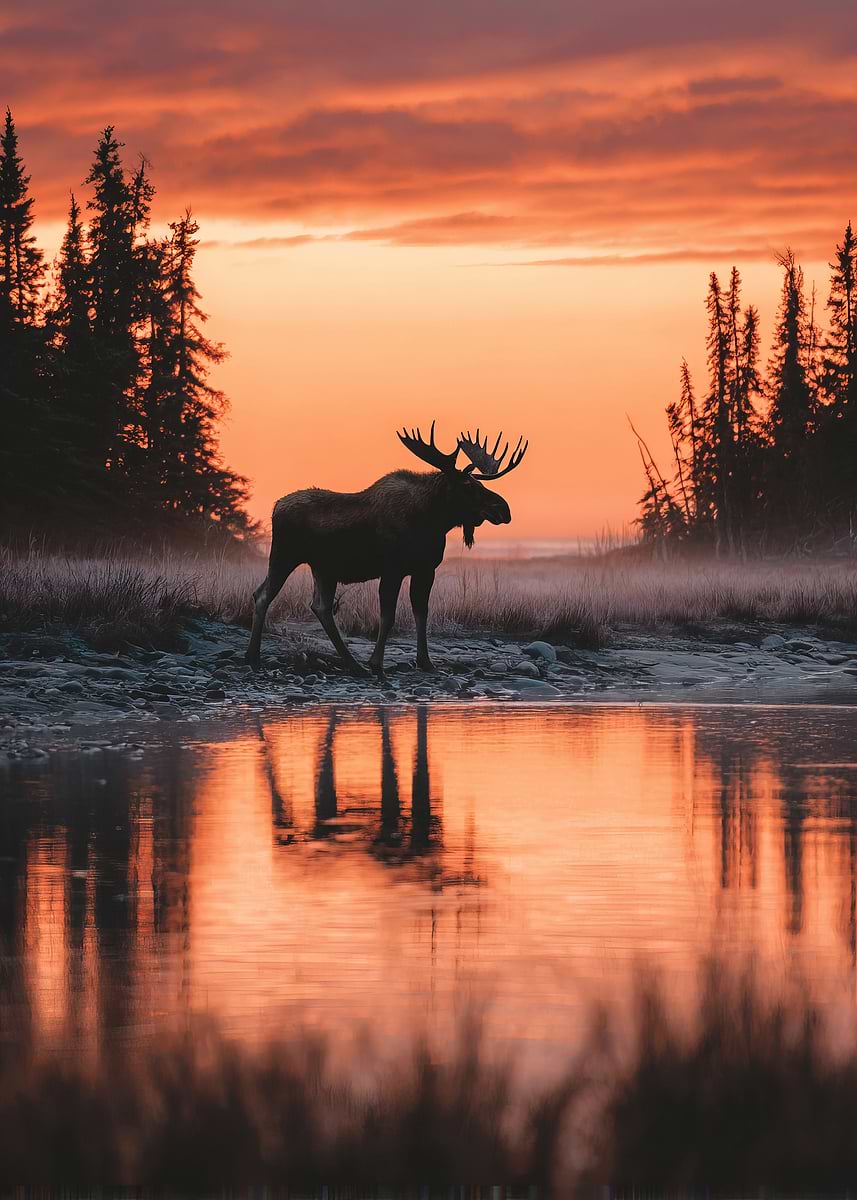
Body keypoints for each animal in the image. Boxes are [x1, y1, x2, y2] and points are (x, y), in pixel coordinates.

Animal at [245, 423, 528, 678]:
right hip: (284, 555)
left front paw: (426, 663)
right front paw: (377, 664)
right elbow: (388, 616)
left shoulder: (425, 569)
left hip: (323, 568)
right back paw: (253, 656)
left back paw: (353, 665)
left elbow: (421, 612)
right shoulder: (392, 568)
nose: (504, 509)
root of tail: (275, 507)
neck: (432, 521)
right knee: (263, 595)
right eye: (468, 486)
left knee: (320, 607)